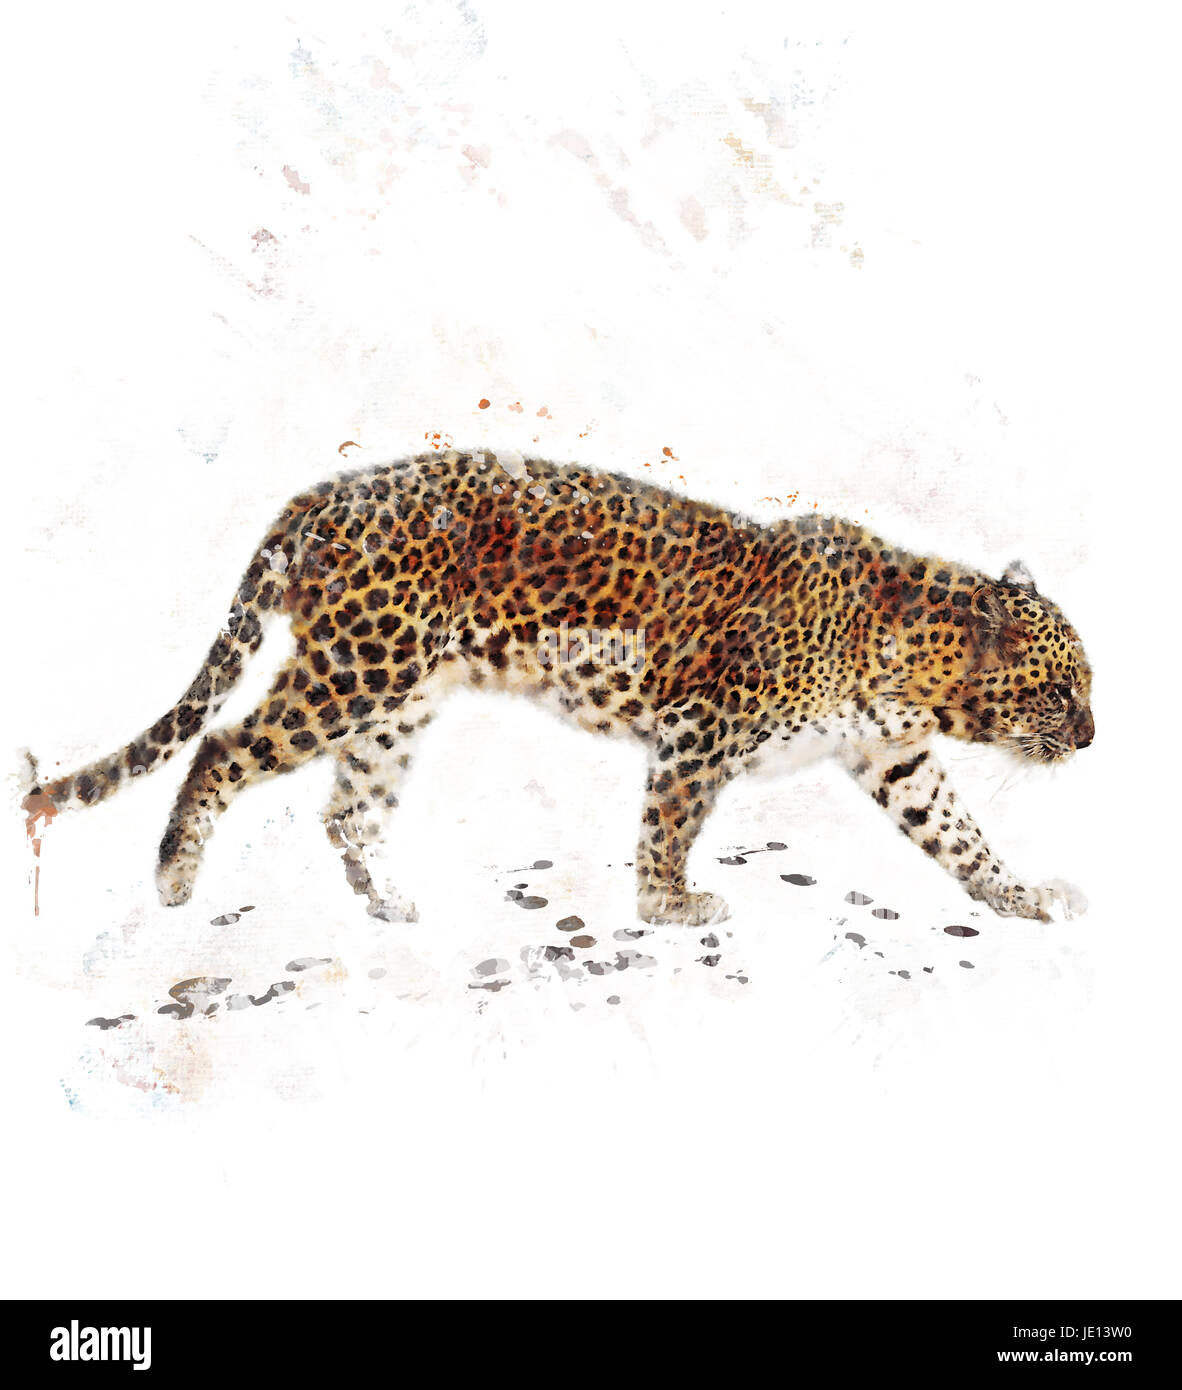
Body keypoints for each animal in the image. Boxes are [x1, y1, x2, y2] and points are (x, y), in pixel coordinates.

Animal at [22, 448, 1093, 927]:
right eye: (1060, 691)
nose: (1092, 740)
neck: (913, 668)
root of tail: (325, 493)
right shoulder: (701, 727)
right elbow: (670, 820)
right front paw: (669, 907)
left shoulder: (897, 757)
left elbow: (958, 833)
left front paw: (1021, 894)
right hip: (354, 673)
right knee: (222, 745)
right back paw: (173, 878)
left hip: (397, 699)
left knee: (349, 811)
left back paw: (393, 904)